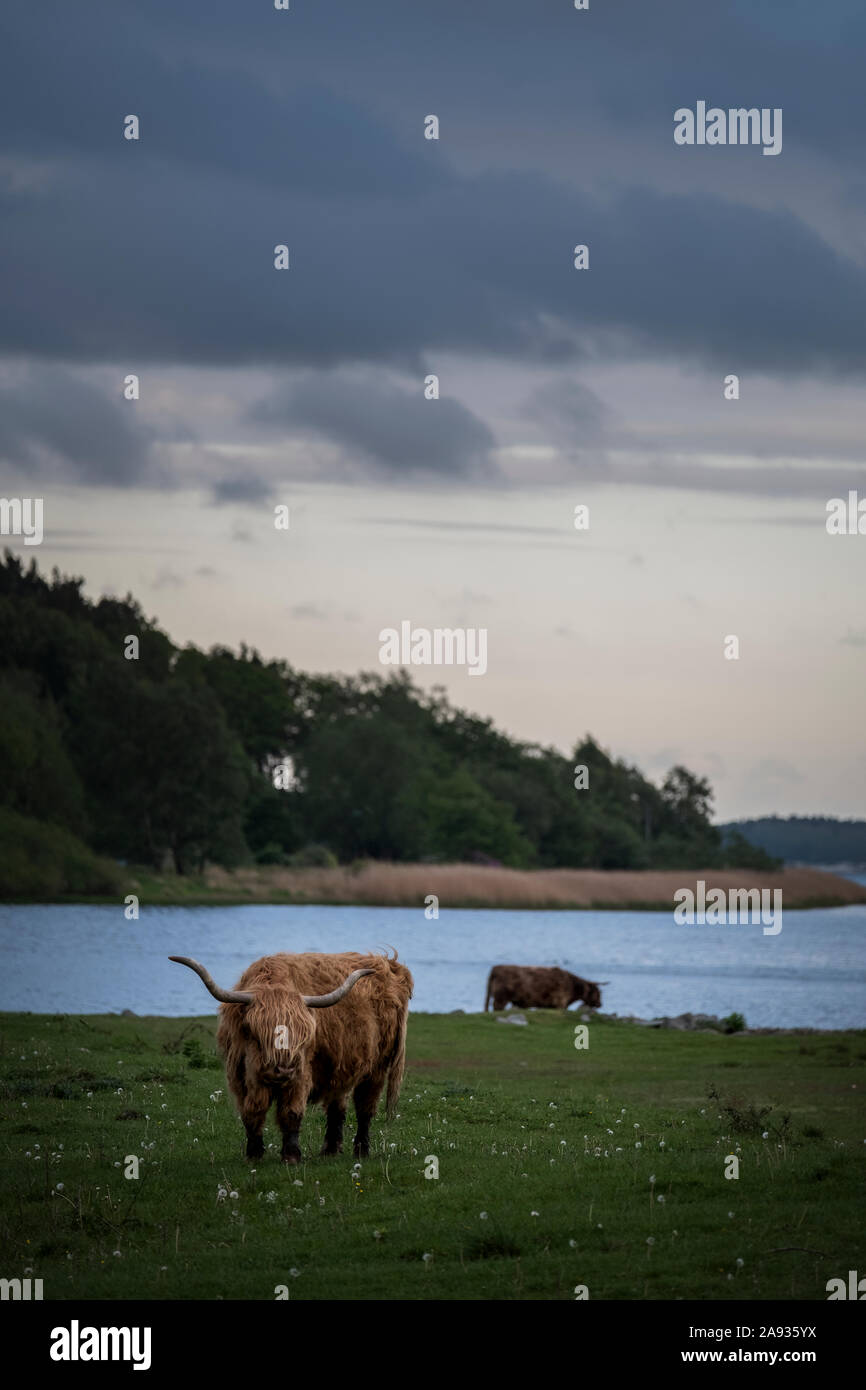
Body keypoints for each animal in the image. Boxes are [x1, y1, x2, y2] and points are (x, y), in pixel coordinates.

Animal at [169, 950, 413, 1163]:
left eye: (303, 1036)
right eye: (256, 1033)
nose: (284, 1069)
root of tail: (389, 965)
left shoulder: (301, 1075)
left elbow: (291, 1113)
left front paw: (291, 1156)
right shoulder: (239, 1078)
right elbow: (252, 1112)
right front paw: (253, 1154)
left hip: (377, 1068)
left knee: (365, 1107)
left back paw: (361, 1150)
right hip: (341, 1068)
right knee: (337, 1107)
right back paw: (330, 1150)